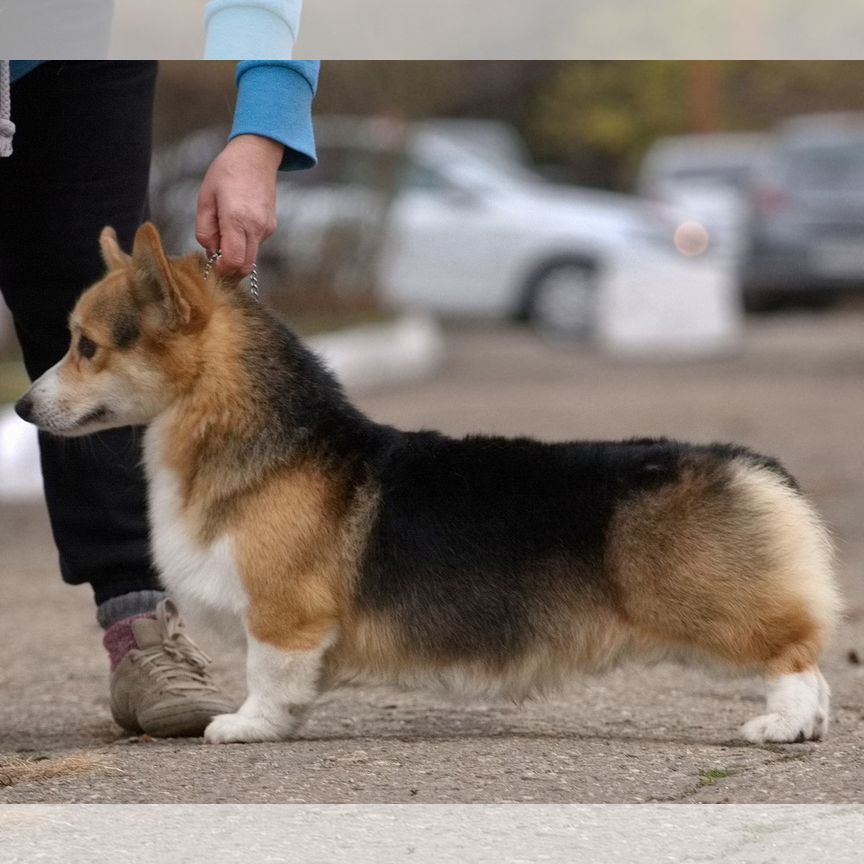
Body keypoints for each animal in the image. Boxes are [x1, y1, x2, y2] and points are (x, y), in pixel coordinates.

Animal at [16, 226, 840, 744]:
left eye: (86, 346)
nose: (21, 407)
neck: (253, 436)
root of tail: (747, 462)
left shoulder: (284, 612)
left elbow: (268, 671)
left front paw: (247, 726)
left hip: (712, 605)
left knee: (795, 652)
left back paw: (782, 725)